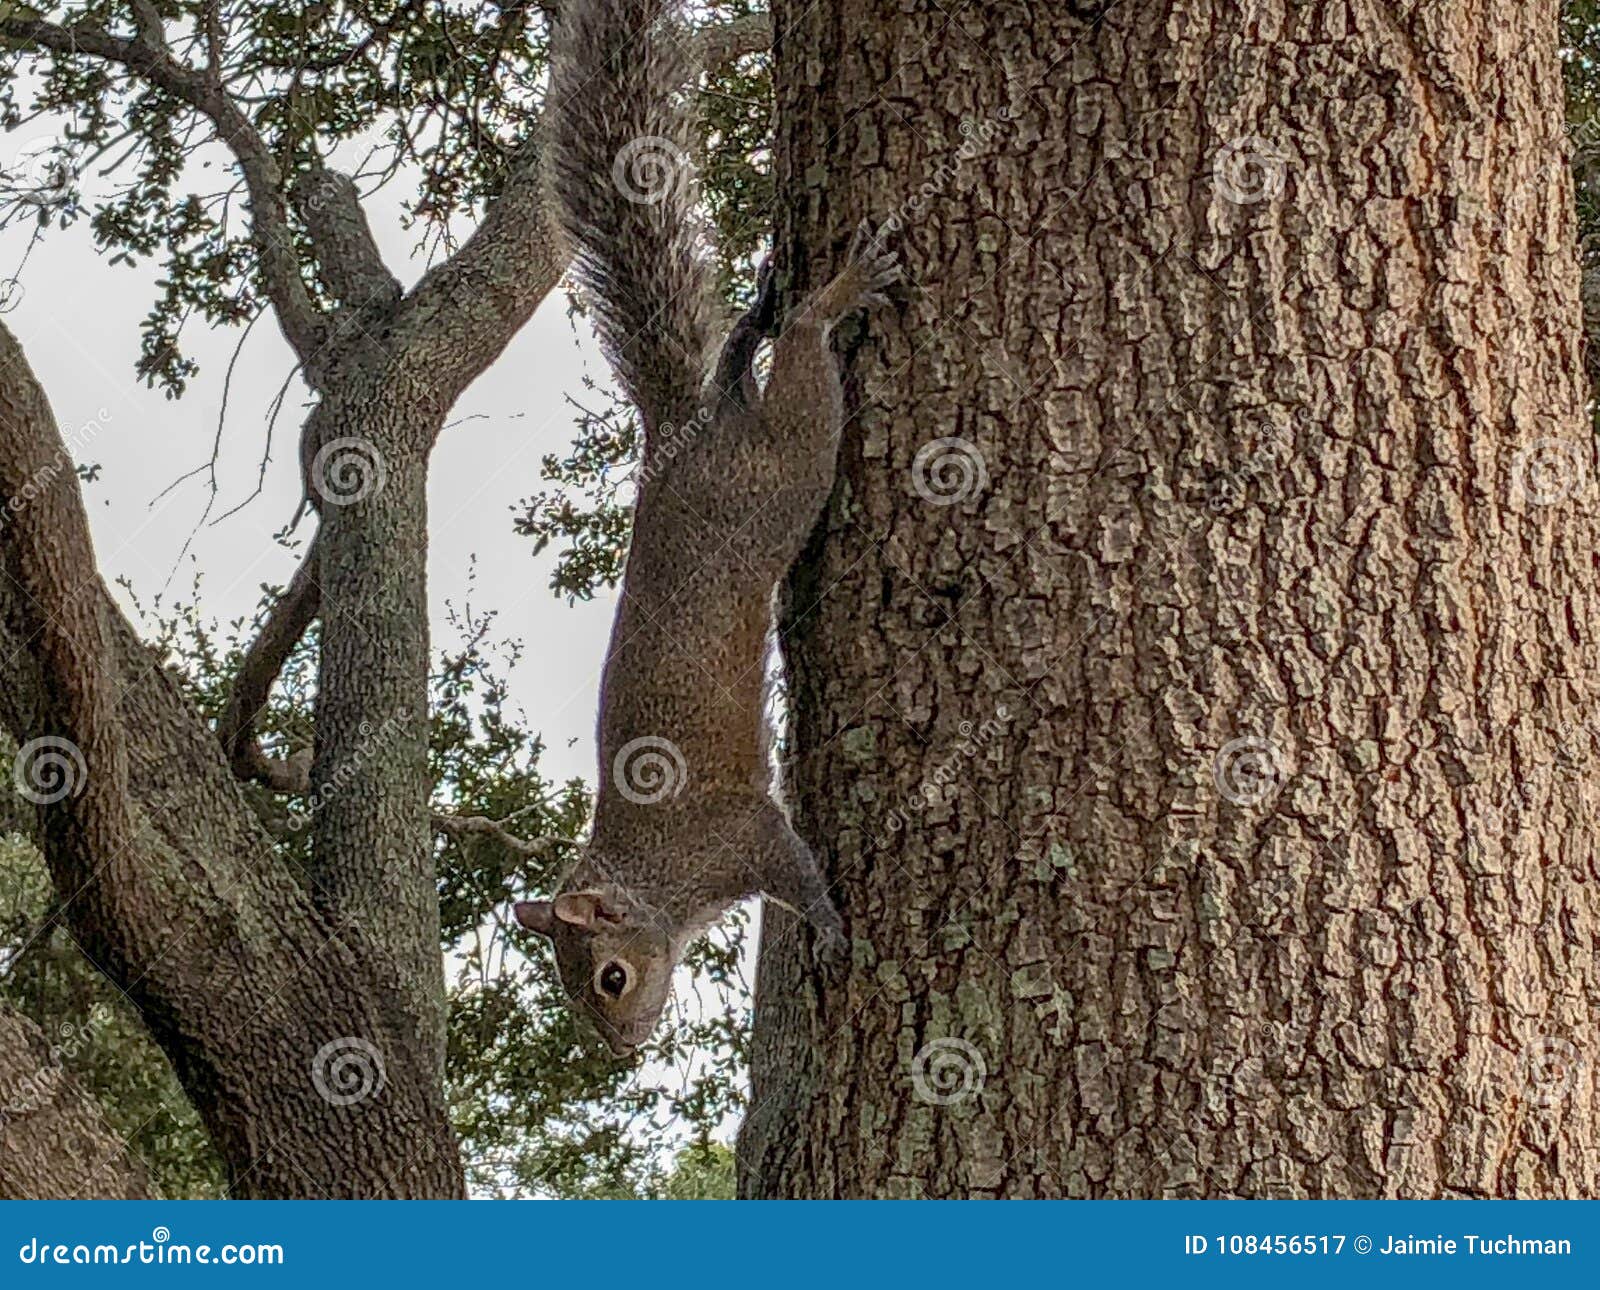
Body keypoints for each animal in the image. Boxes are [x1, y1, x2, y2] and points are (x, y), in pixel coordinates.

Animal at [513, 0, 899, 1055]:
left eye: (608, 977)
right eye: (571, 991)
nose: (620, 1052)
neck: (654, 881)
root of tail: (678, 444)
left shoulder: (734, 837)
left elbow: (793, 871)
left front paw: (833, 929)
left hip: (774, 489)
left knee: (801, 373)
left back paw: (826, 300)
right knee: (739, 365)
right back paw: (752, 325)